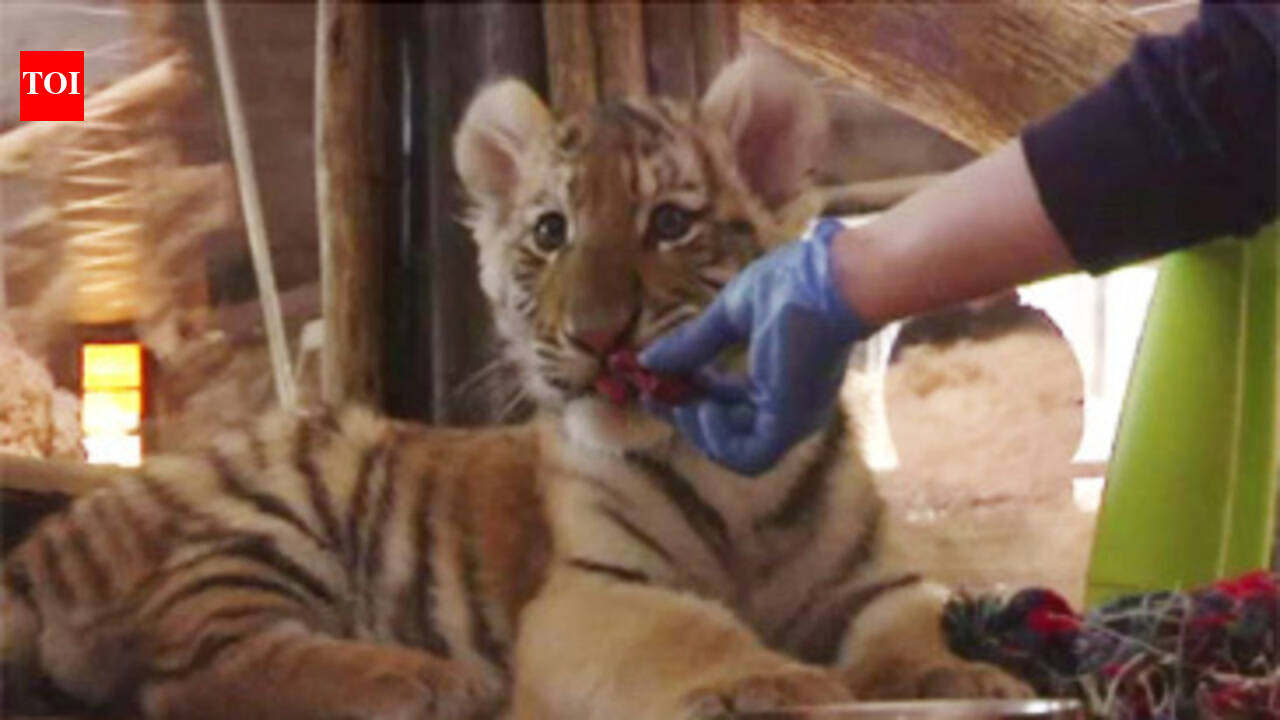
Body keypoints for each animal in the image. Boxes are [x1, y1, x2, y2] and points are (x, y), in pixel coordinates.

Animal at [1, 56, 1030, 720]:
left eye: (669, 223)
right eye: (549, 232)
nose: (596, 334)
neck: (737, 481)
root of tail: (51, 539)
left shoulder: (876, 583)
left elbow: (919, 628)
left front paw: (972, 677)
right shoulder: (598, 593)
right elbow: (694, 635)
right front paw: (773, 682)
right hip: (274, 503)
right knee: (188, 670)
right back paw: (416, 681)